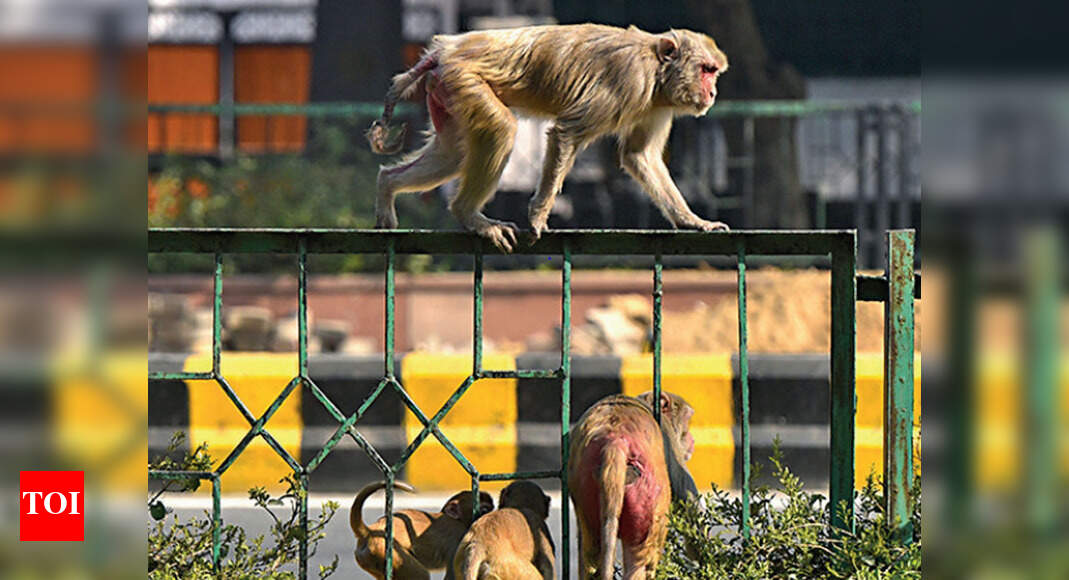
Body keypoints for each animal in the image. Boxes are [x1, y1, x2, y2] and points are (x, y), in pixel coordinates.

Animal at [350, 480, 494, 579]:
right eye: (485, 510)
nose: (492, 516)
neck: (459, 521)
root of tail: (369, 531)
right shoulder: (458, 537)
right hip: (383, 548)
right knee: (421, 575)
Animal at [367, 24, 730, 252]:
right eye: (706, 70)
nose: (713, 92)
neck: (655, 68)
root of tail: (444, 50)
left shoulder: (657, 104)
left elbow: (639, 156)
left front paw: (693, 221)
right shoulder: (629, 80)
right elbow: (567, 133)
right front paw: (538, 216)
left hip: (446, 91)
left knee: (452, 154)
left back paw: (388, 185)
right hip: (462, 78)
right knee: (501, 129)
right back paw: (469, 214)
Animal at [566, 391, 697, 580]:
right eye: (686, 419)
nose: (692, 440)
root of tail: (615, 443)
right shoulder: (669, 439)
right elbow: (687, 496)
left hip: (586, 495)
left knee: (591, 551)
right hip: (647, 499)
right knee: (640, 559)